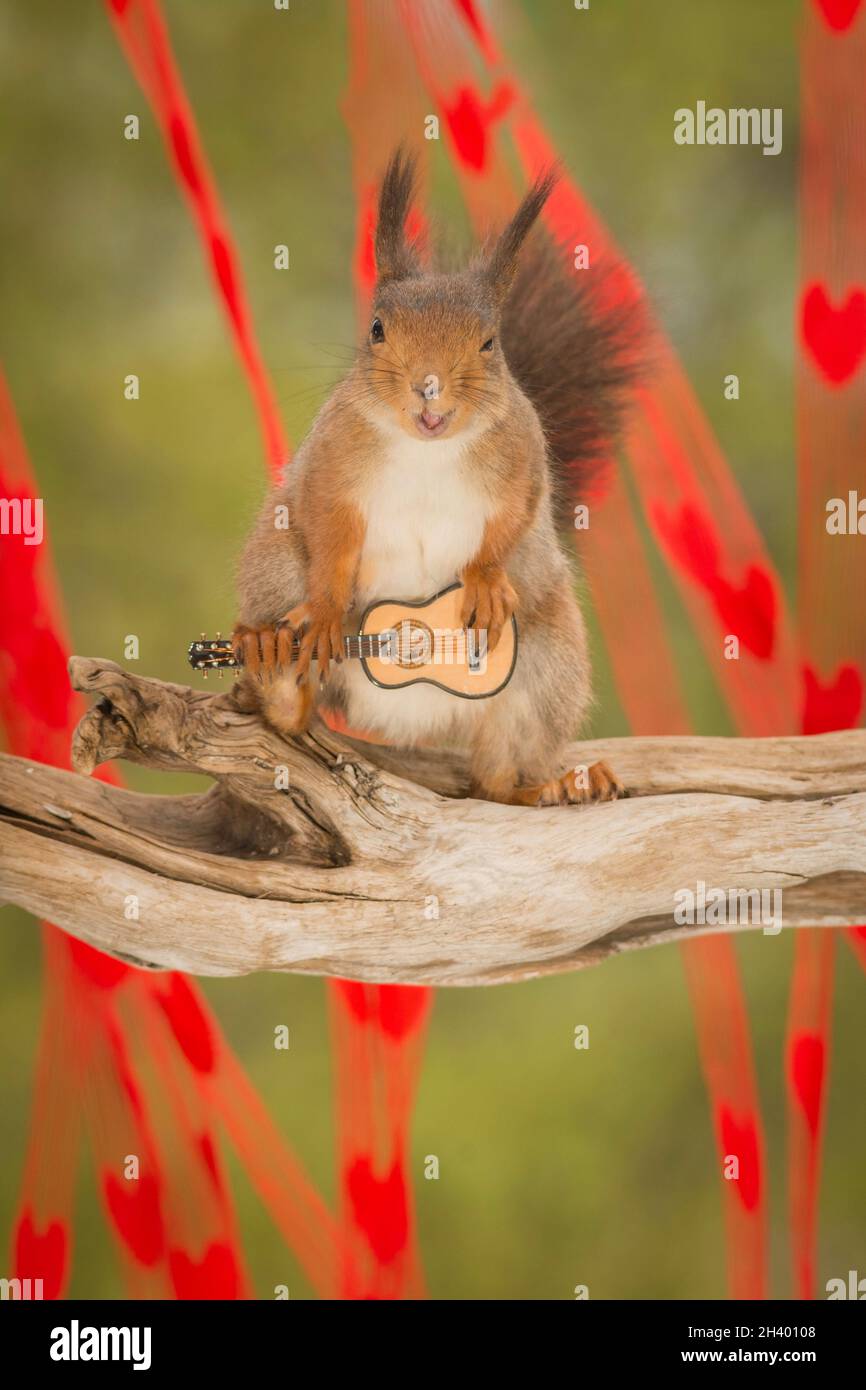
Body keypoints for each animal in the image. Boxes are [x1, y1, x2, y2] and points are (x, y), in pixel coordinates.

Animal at [232, 149, 644, 807]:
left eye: (489, 342)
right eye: (377, 329)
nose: (427, 386)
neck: (426, 450)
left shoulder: (522, 466)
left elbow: (511, 523)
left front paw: (484, 582)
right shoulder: (331, 466)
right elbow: (330, 532)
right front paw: (325, 609)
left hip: (545, 669)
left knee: (495, 782)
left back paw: (556, 785)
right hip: (275, 567)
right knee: (296, 712)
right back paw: (274, 672)